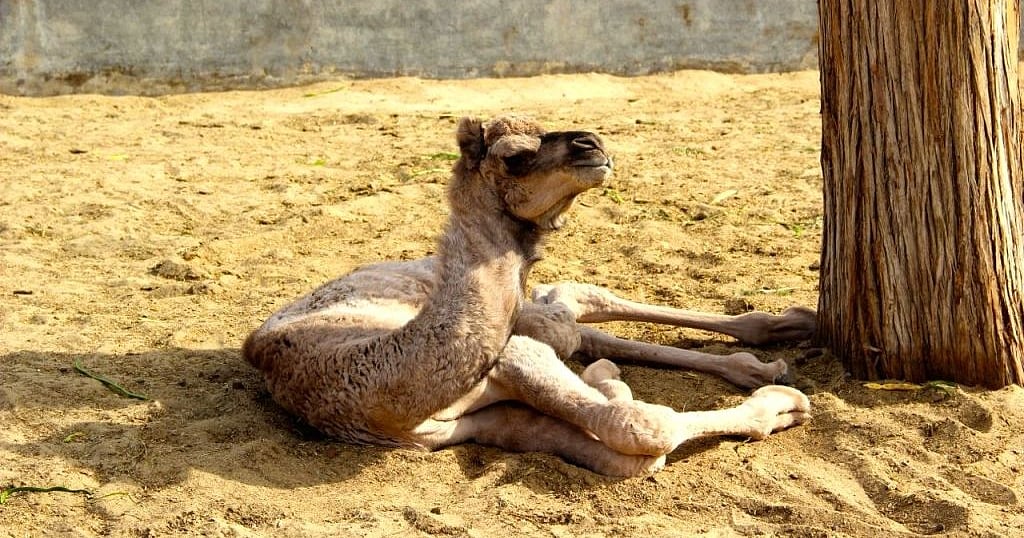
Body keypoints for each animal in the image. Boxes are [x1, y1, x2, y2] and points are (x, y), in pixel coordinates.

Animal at [243, 115, 814, 477]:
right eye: (515, 156)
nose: (593, 144)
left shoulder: (511, 354)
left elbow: (638, 426)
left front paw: (784, 399)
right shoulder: (482, 417)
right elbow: (638, 438)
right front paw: (783, 405)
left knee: (579, 303)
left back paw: (783, 333)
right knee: (576, 317)